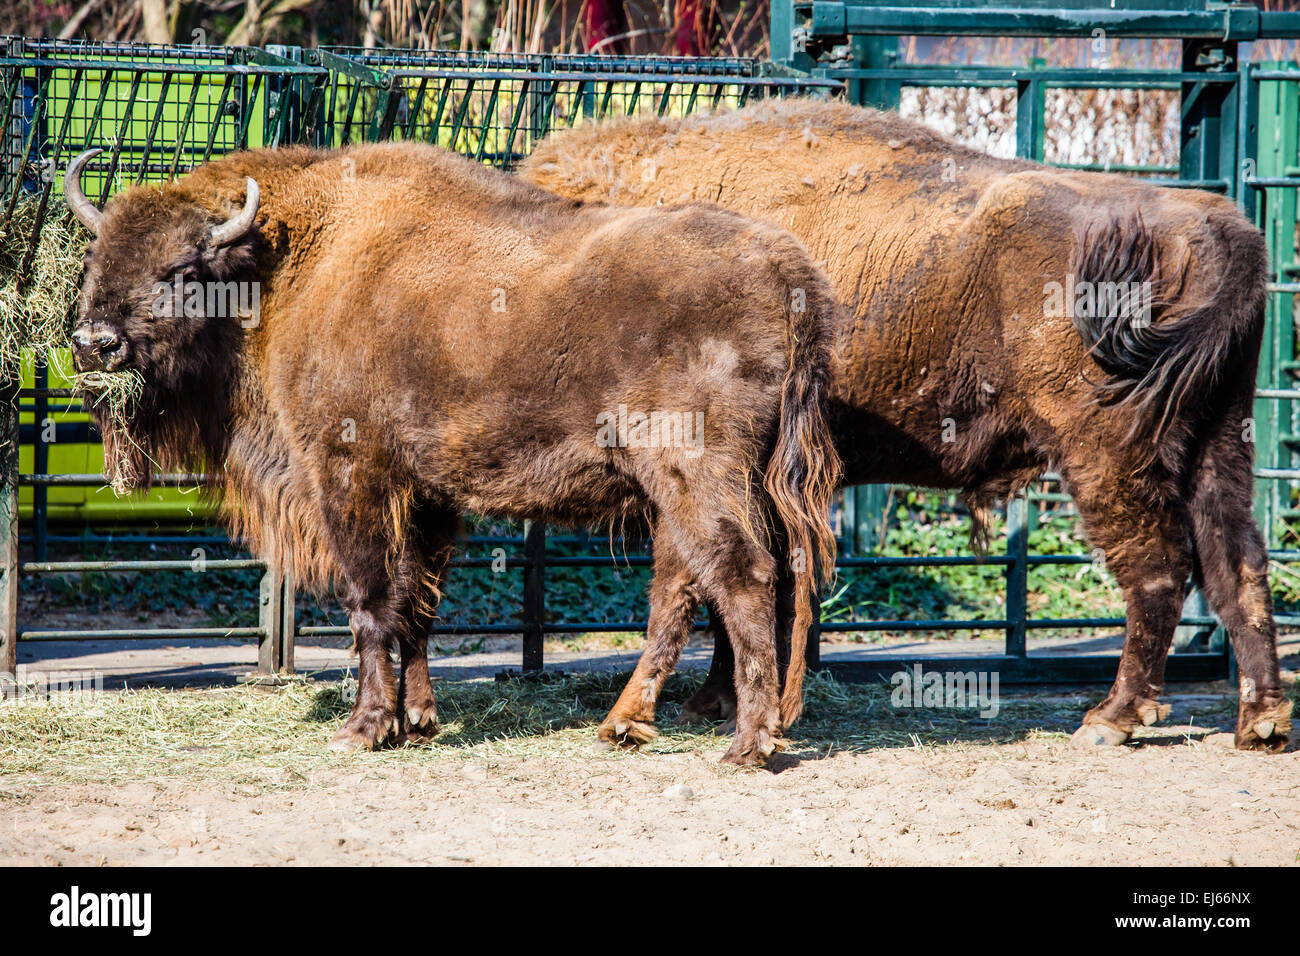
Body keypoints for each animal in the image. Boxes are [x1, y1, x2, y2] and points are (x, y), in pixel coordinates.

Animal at [63, 142, 840, 766]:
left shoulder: (351, 475)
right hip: (685, 487)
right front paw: (418, 719)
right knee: (680, 588)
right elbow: (418, 602)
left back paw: (748, 745)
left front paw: (366, 727)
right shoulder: (427, 495)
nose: (97, 343)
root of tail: (789, 275)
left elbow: (372, 598)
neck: (293, 263)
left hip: (696, 473)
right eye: (95, 261)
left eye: (182, 270)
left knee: (741, 575)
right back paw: (625, 724)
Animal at [523, 96, 1293, 751]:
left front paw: (711, 703)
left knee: (1158, 568)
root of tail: (1218, 225)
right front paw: (724, 700)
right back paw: (1260, 721)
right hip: (1218, 439)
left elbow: (723, 580)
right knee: (1237, 560)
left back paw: (1112, 718)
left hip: (1105, 452)